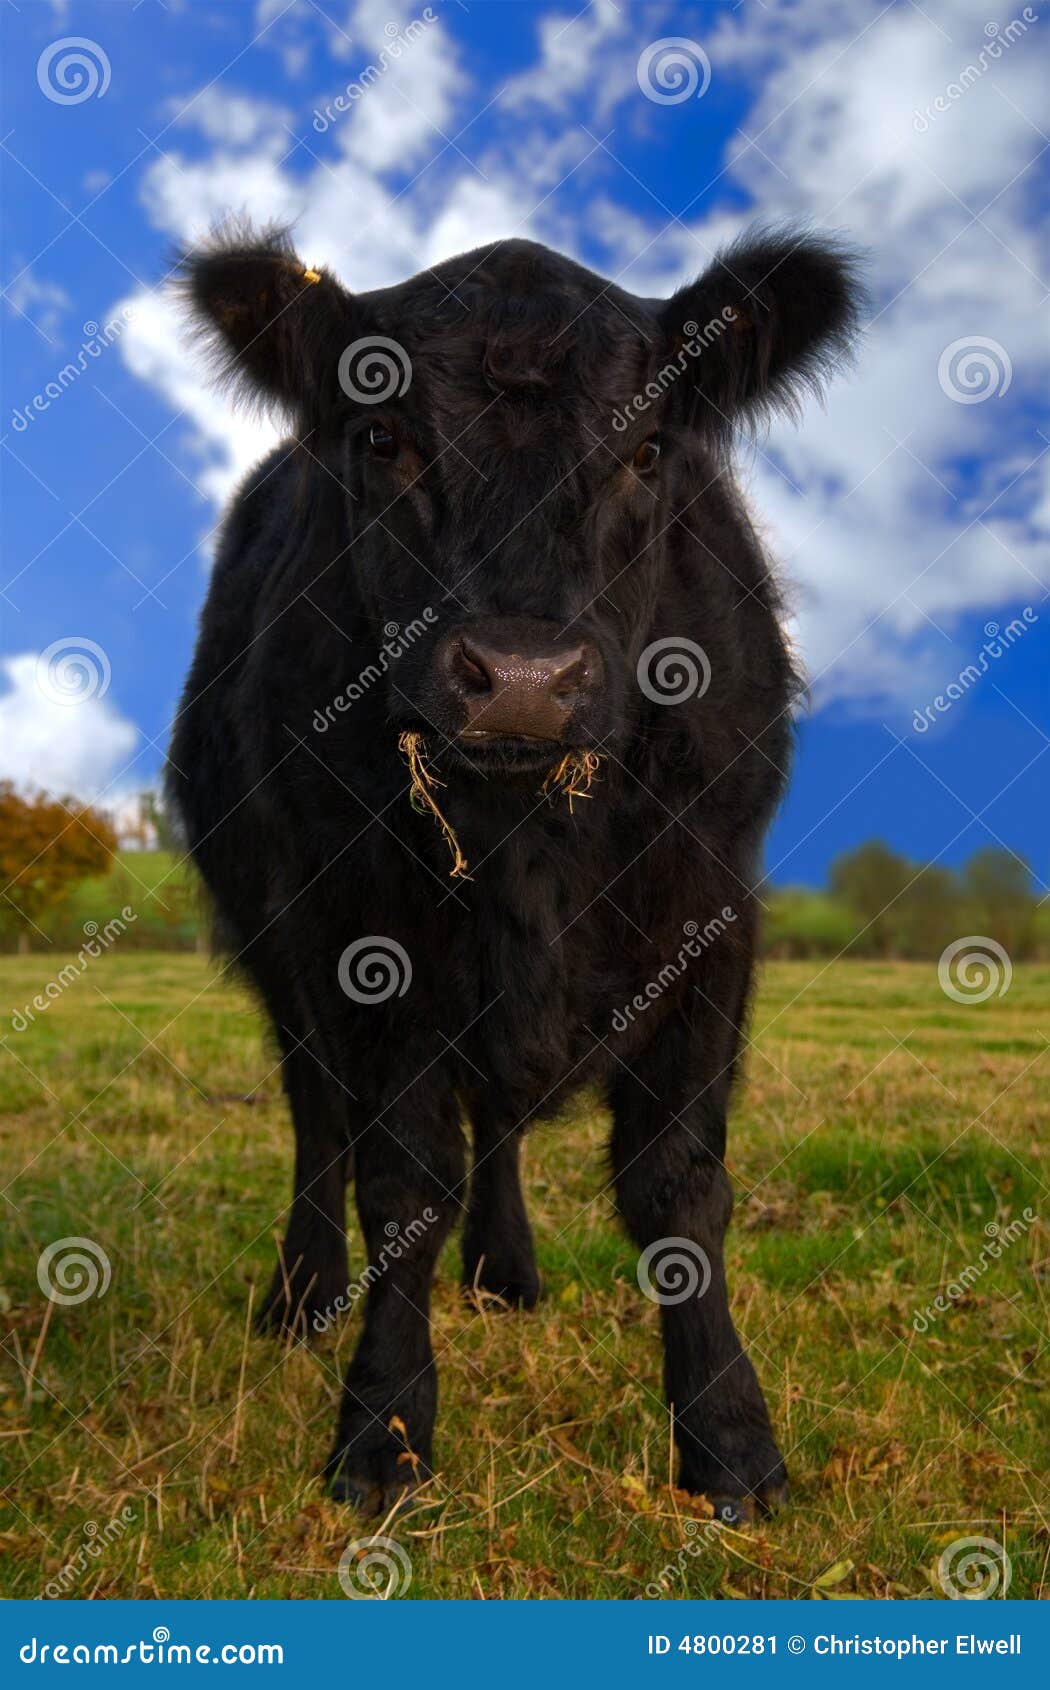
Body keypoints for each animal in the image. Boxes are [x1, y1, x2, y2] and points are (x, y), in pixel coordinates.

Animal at [168, 221, 862, 1522]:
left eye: (647, 447)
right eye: (383, 439)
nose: (526, 679)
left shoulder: (711, 907)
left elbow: (678, 1183)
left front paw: (730, 1441)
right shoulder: (359, 922)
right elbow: (400, 1183)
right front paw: (383, 1432)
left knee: (494, 1116)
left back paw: (507, 1270)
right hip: (273, 930)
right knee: (316, 1113)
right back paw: (301, 1294)